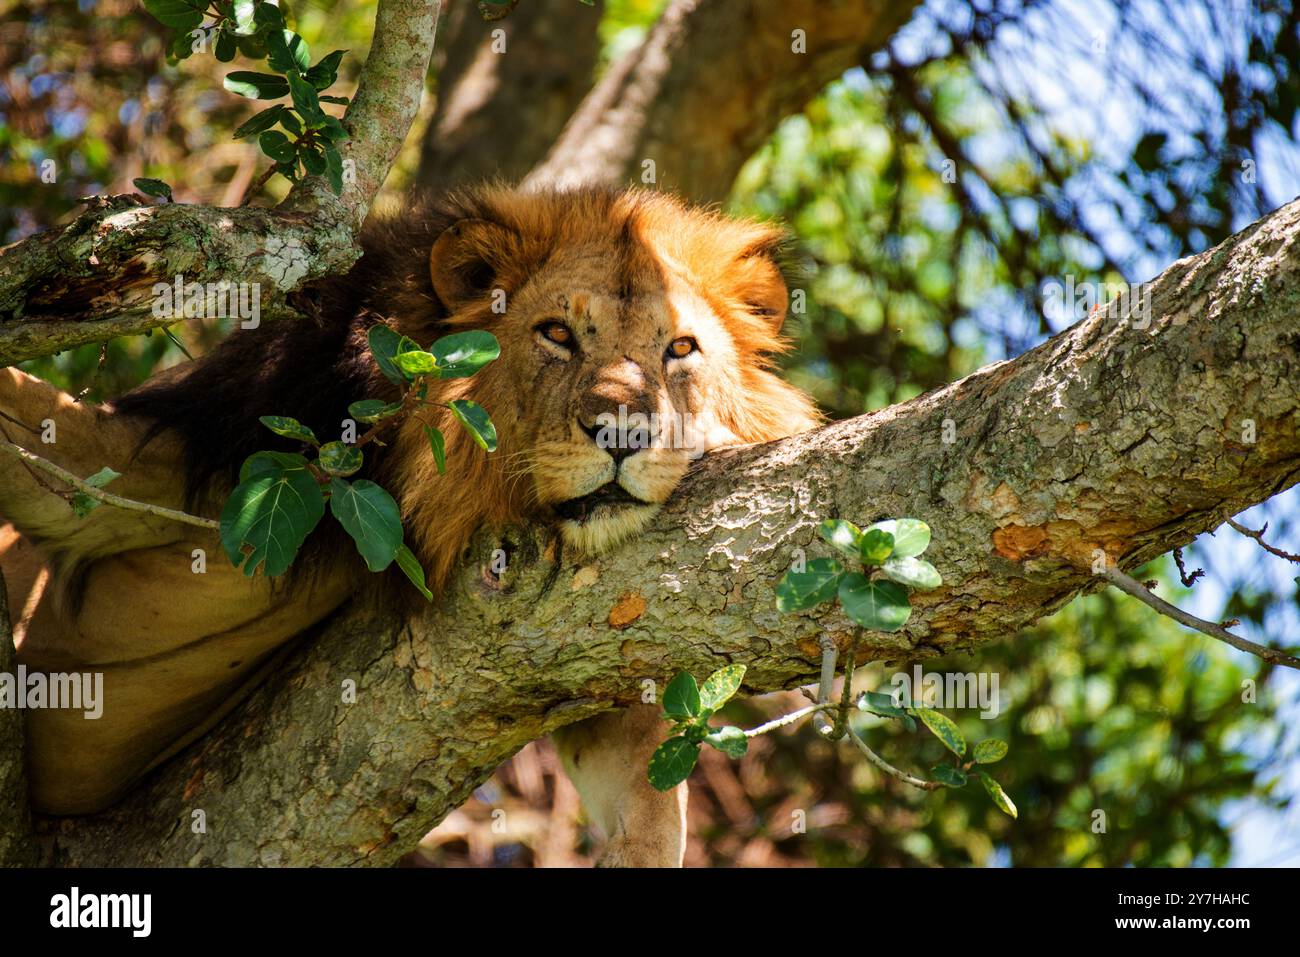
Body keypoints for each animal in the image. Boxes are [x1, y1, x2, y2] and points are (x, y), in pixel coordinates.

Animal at [0, 184, 820, 866]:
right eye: (557, 334)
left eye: (680, 349)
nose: (622, 432)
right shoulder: (179, 453)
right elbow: (40, 427)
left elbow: (650, 815)